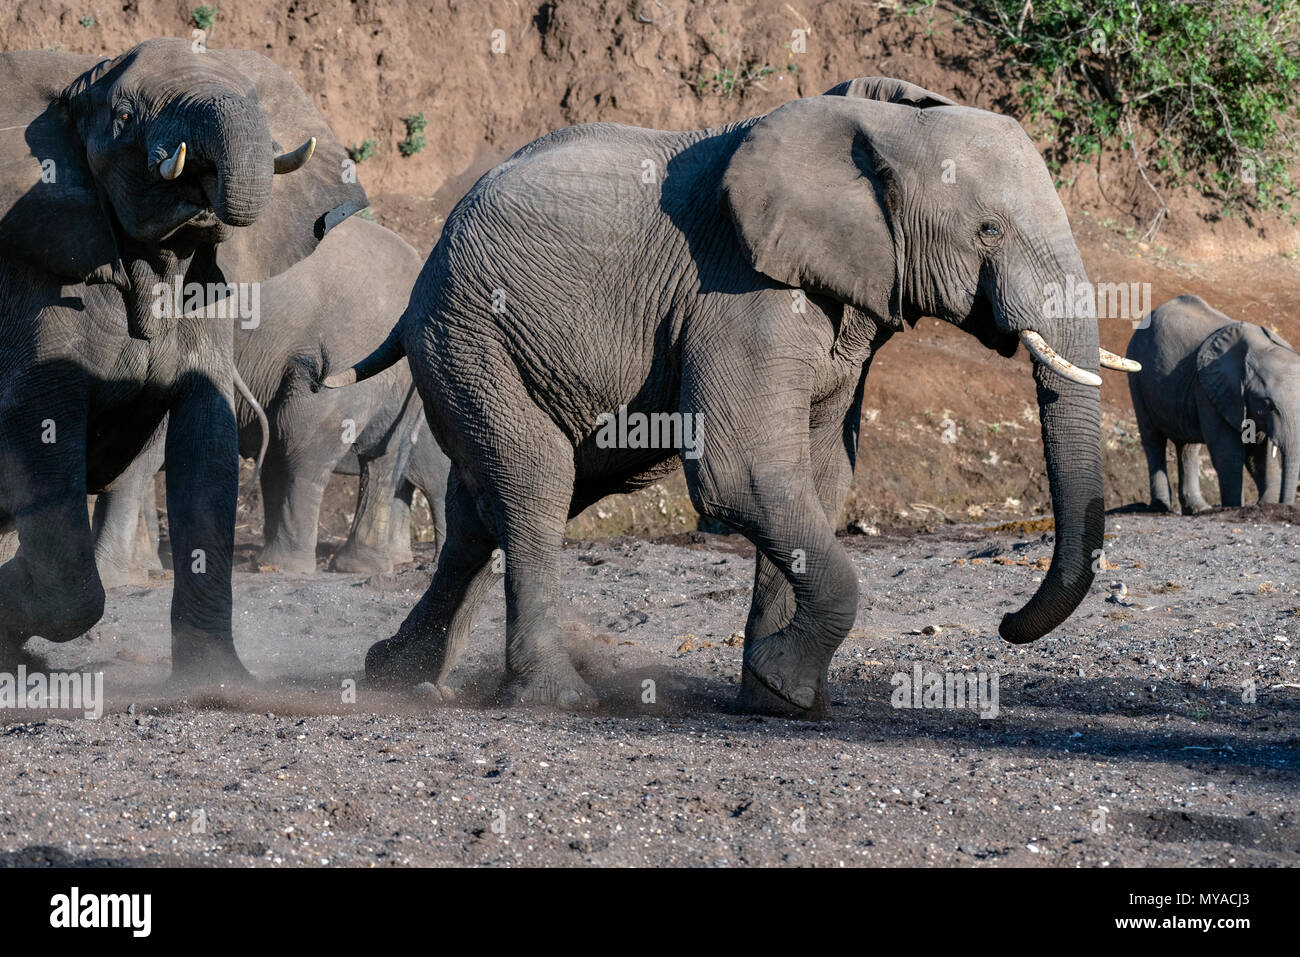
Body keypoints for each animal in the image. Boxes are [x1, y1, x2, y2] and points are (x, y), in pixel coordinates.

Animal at [0, 38, 367, 679]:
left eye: (254, 99)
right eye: (123, 118)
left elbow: (207, 437)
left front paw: (218, 683)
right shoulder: (38, 281)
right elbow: (38, 423)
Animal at [90, 215, 450, 586]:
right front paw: (142, 566)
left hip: (350, 353)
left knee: (300, 441)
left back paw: (286, 565)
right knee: (382, 460)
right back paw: (359, 566)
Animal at [323, 76, 1132, 716]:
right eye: (988, 229)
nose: (1005, 622)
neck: (878, 127)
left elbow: (813, 478)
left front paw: (782, 700)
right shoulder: (741, 290)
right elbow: (743, 474)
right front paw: (783, 686)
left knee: (485, 504)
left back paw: (395, 673)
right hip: (466, 329)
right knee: (533, 485)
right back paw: (554, 699)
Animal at [1126, 294, 1300, 510]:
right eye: (1268, 404)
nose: (1286, 505)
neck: (1259, 347)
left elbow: (1258, 454)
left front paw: (1266, 503)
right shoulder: (1210, 389)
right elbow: (1228, 453)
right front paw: (1234, 507)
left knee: (1188, 448)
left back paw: (1199, 509)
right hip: (1136, 376)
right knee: (1153, 440)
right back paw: (1162, 508)